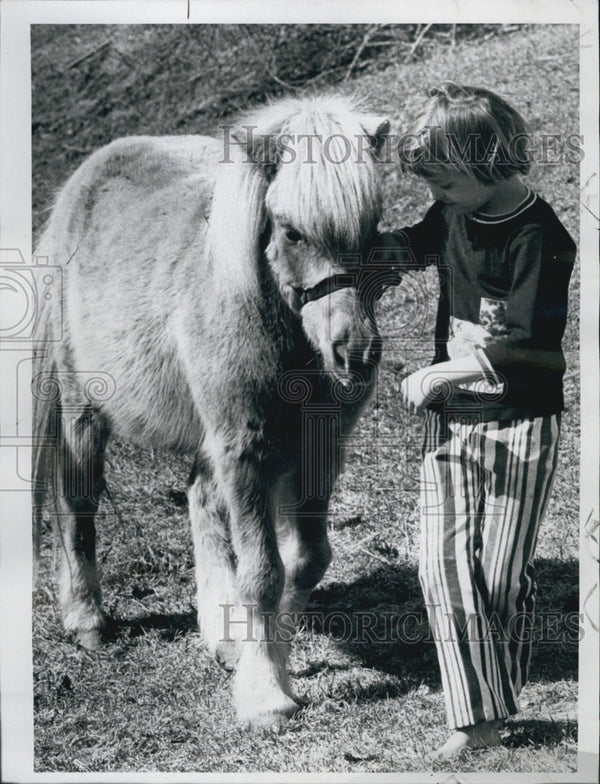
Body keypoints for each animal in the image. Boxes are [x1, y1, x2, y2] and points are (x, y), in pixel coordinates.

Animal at [32, 95, 391, 729]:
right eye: (292, 231)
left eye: (372, 226)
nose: (356, 353)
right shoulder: (245, 449)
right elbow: (263, 574)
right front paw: (265, 695)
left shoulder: (315, 451)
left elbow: (306, 561)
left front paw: (263, 657)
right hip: (82, 411)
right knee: (77, 503)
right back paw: (86, 621)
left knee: (200, 502)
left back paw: (221, 634)